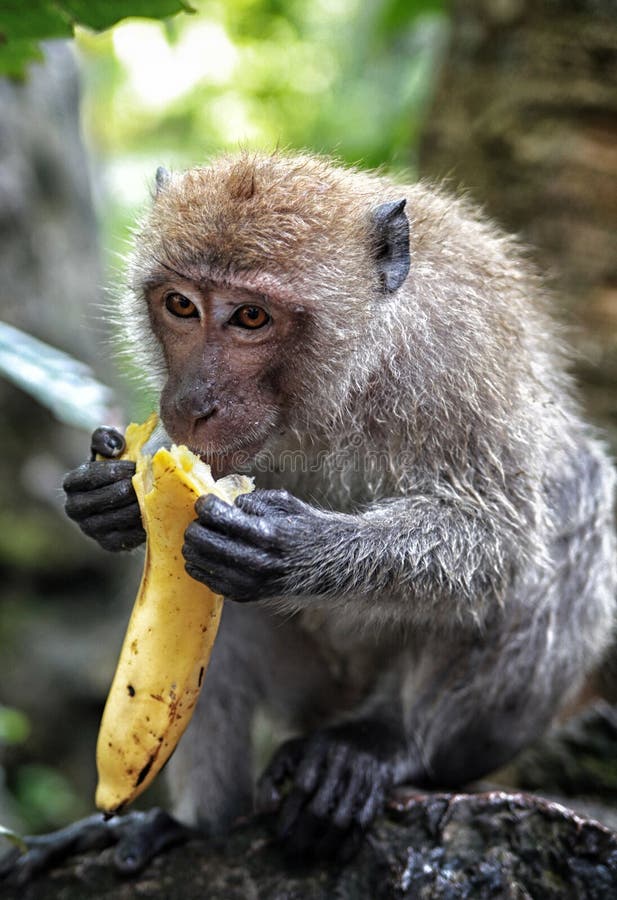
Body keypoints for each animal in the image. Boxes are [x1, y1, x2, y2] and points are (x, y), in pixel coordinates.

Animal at [7, 151, 616, 877]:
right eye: (181, 305)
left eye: (249, 317)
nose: (191, 404)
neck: (355, 372)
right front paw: (107, 498)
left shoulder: (462, 358)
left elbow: (503, 538)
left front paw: (292, 547)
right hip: (304, 689)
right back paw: (195, 824)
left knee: (577, 498)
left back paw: (377, 743)